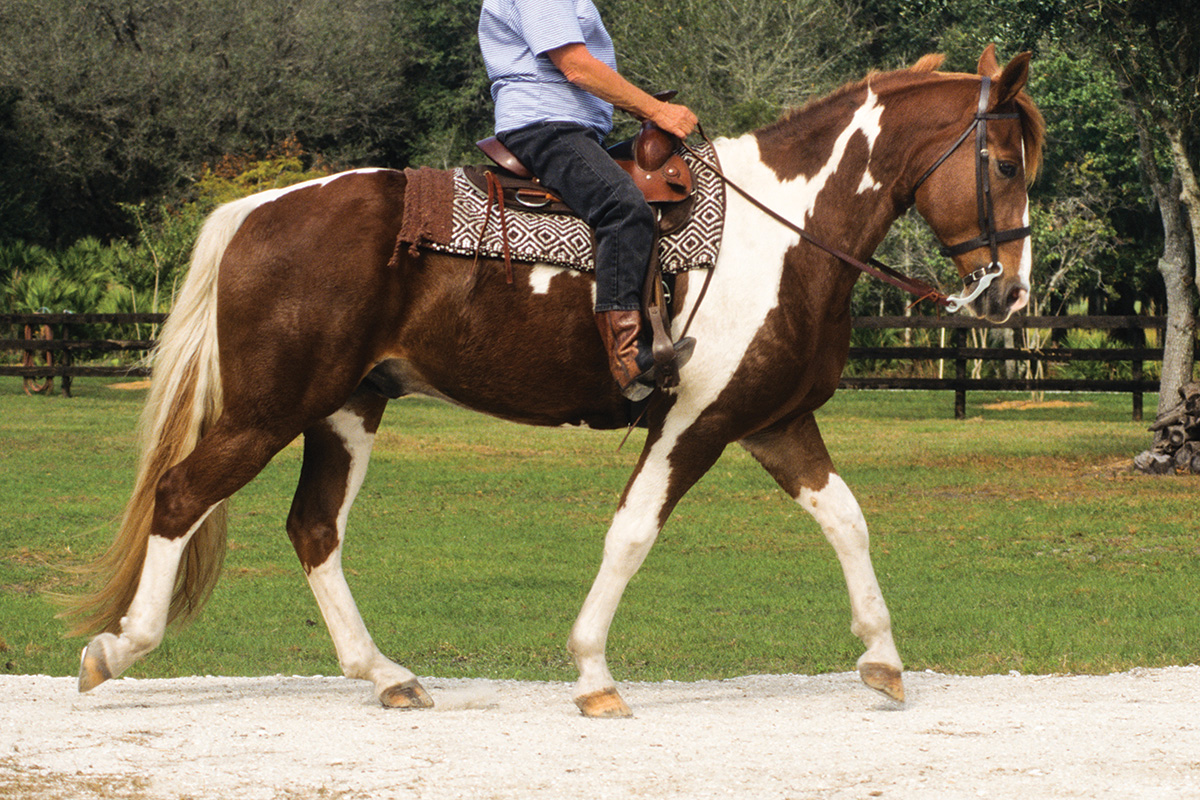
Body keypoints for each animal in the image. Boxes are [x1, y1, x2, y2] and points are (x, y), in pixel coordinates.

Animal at [64, 46, 1044, 718]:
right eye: (1003, 164)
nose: (1013, 295)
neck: (787, 231)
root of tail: (259, 208)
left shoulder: (773, 419)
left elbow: (847, 519)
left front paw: (882, 660)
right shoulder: (696, 421)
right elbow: (633, 533)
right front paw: (594, 673)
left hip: (345, 408)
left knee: (314, 528)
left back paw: (385, 675)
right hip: (271, 408)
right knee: (182, 495)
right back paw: (119, 648)